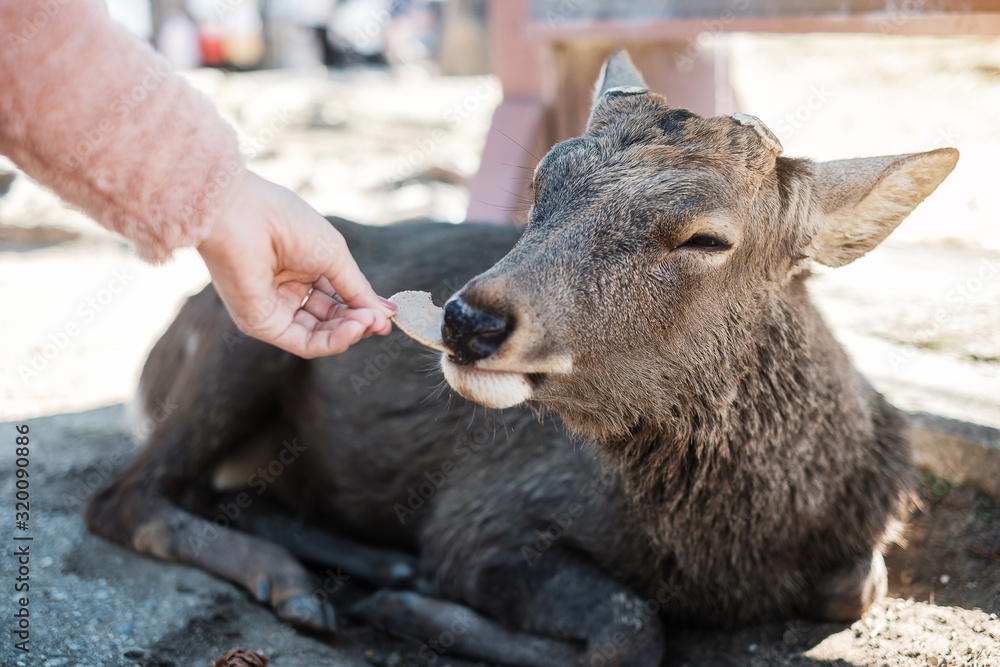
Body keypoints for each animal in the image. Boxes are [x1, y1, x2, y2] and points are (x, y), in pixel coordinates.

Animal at [85, 50, 958, 666]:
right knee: (124, 496)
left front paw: (406, 595)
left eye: (708, 237)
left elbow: (857, 584)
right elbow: (631, 628)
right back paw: (307, 584)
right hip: (239, 339)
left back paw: (369, 569)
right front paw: (417, 611)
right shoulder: (485, 514)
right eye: (543, 179)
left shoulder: (865, 544)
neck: (727, 545)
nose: (470, 318)